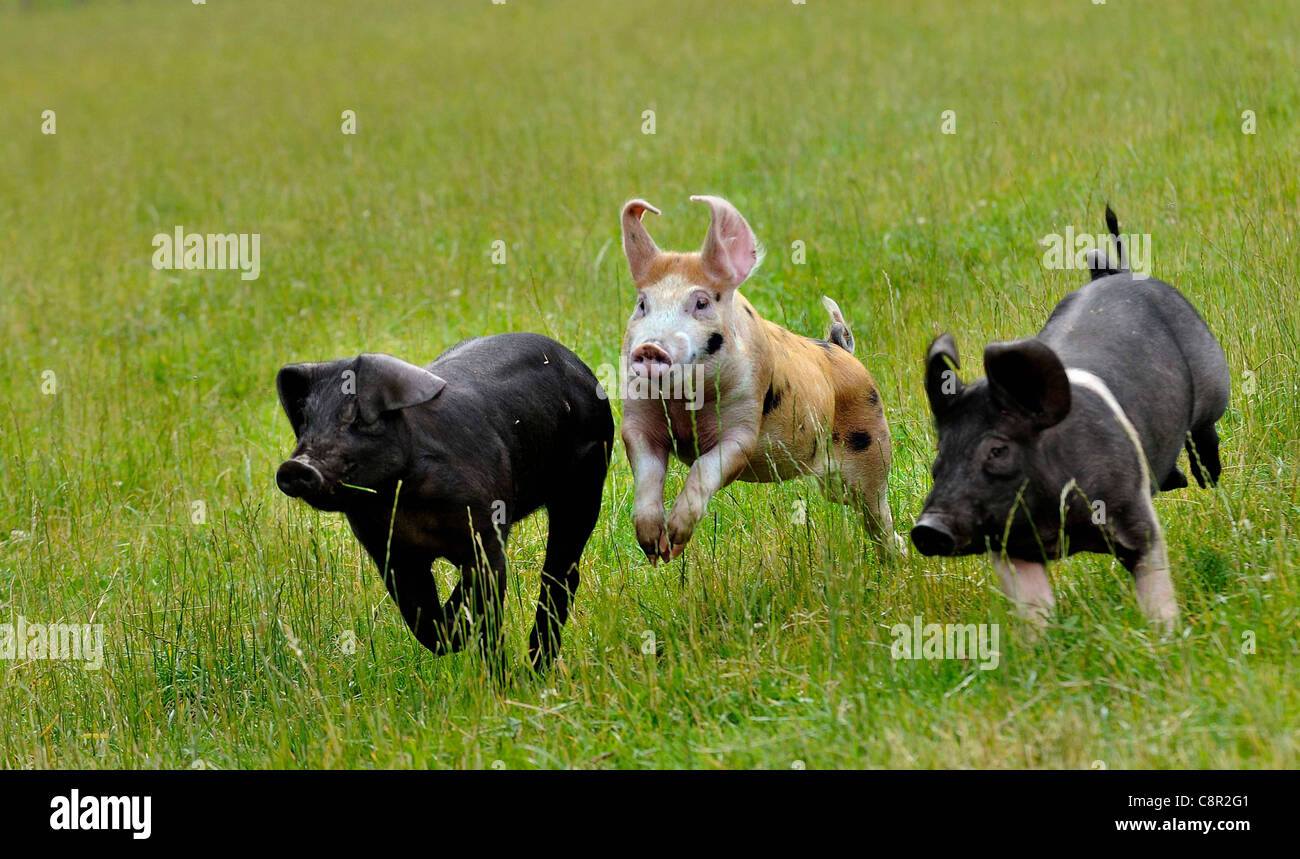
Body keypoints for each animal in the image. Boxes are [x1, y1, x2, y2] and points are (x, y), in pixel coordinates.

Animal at [275, 333, 614, 671]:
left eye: (358, 418)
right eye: (306, 421)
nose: (296, 466)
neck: (404, 499)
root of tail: (579, 368)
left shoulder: (485, 529)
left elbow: (486, 610)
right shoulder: (390, 553)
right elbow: (421, 620)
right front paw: (453, 632)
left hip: (586, 482)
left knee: (560, 574)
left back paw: (536, 671)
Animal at [618, 194, 902, 563]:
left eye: (701, 302)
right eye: (642, 304)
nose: (650, 347)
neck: (685, 402)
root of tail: (846, 354)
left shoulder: (744, 425)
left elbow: (706, 467)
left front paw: (676, 540)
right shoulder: (637, 420)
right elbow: (646, 474)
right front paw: (657, 552)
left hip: (872, 449)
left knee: (878, 513)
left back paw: (894, 561)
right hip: (833, 484)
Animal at [911, 207, 1229, 630]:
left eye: (997, 450)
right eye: (940, 457)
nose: (927, 529)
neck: (1055, 526)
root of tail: (1118, 272)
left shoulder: (1134, 515)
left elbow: (1155, 585)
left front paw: (1167, 635)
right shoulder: (1012, 550)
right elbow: (1034, 608)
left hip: (1214, 382)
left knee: (1204, 437)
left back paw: (1208, 478)